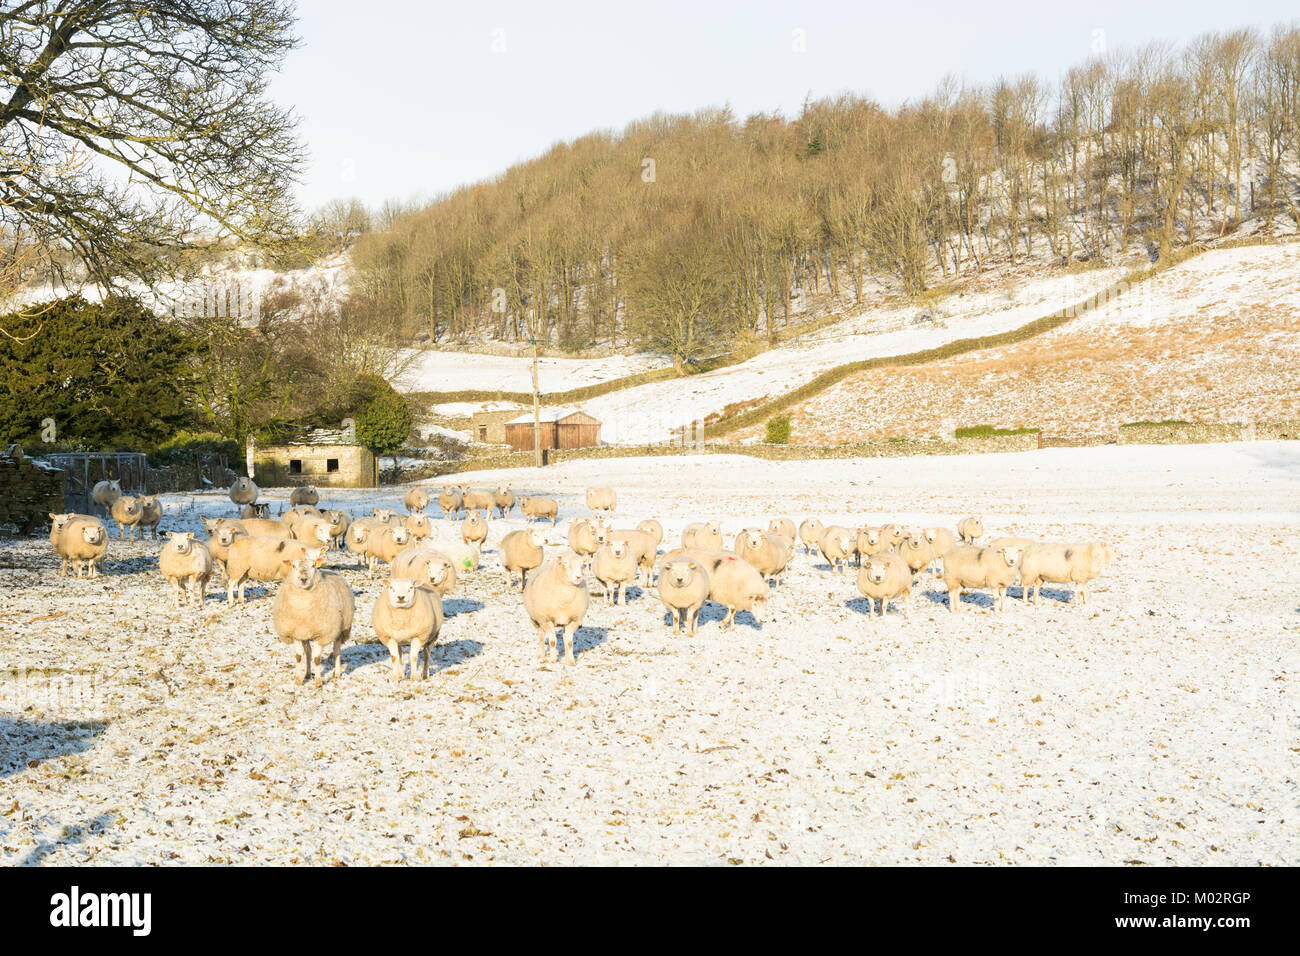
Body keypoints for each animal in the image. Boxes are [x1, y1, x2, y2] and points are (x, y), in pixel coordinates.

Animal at [271, 553, 354, 687]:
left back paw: (336, 673)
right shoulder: (296, 634)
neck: (303, 607)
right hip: (306, 634)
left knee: (336, 651)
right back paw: (308, 674)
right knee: (308, 652)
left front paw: (318, 682)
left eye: (313, 565)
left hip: (340, 629)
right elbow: (299, 657)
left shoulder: (321, 635)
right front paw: (299, 680)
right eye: (293, 566)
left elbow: (317, 659)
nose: (303, 579)